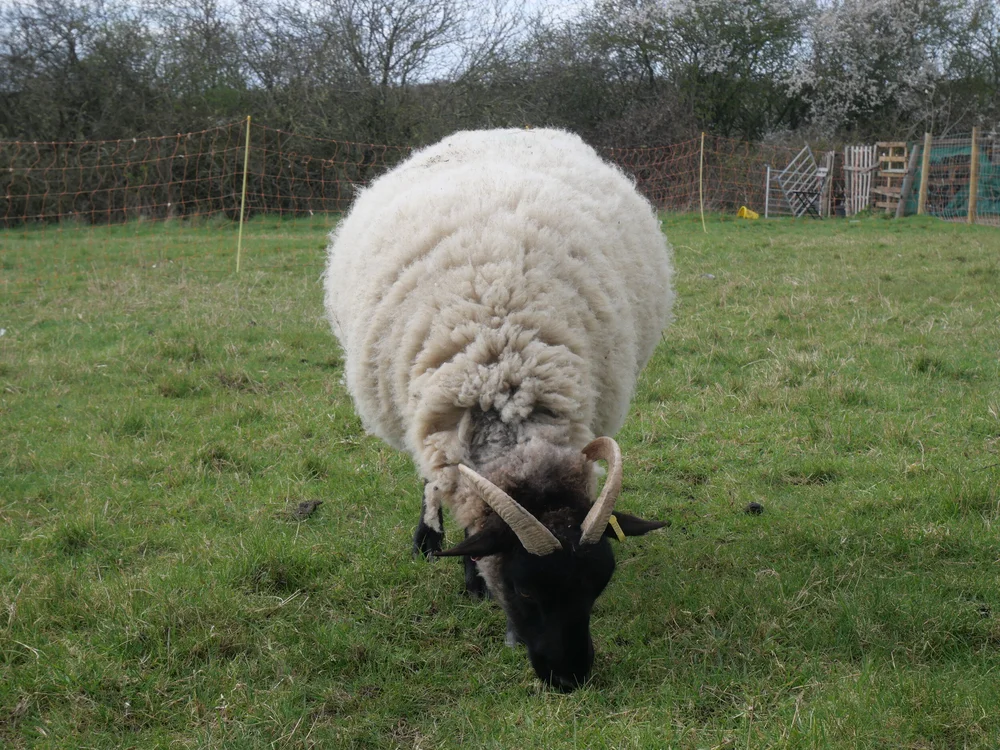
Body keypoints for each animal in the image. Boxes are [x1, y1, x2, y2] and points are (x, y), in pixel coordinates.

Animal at [324, 127, 674, 691]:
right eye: (525, 589)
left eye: (599, 586)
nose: (569, 678)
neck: (505, 382)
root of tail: (500, 130)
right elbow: (460, 513)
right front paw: (467, 577)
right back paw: (428, 539)